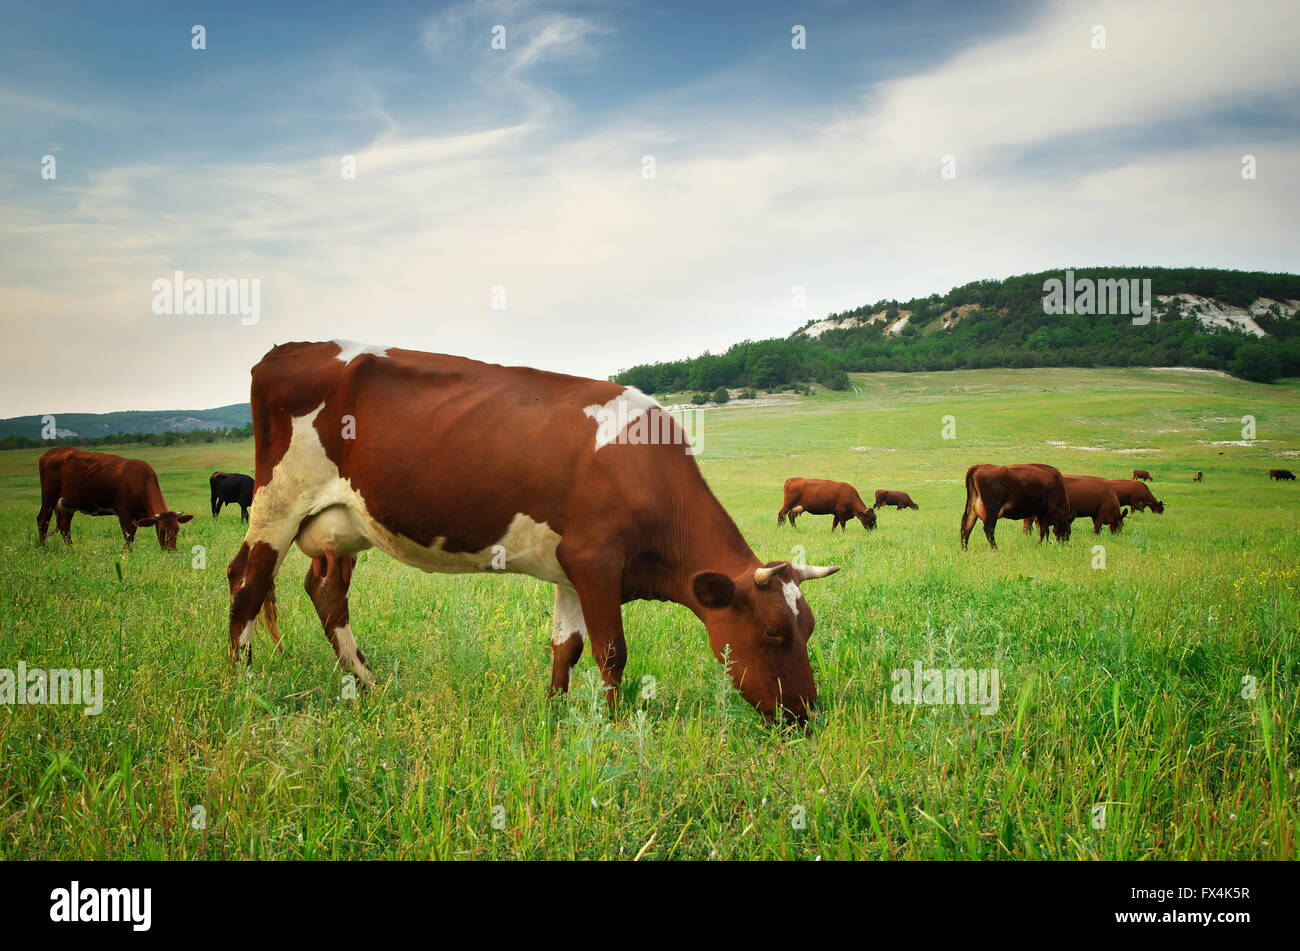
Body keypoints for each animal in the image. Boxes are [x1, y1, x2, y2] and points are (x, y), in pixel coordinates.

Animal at [37, 447, 193, 550]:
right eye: (161, 530)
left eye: (177, 529)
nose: (171, 551)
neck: (141, 481)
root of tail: (52, 452)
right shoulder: (123, 511)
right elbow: (129, 536)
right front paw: (126, 555)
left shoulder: (135, 517)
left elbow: (131, 535)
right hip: (49, 497)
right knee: (43, 520)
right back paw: (44, 549)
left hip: (68, 505)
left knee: (65, 527)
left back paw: (71, 550)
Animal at [225, 341, 841, 723]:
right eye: (772, 633)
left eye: (808, 627)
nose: (806, 715)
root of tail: (285, 350)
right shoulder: (597, 560)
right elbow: (612, 651)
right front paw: (612, 726)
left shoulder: (572, 569)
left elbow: (566, 647)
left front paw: (554, 712)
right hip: (278, 501)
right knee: (246, 582)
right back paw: (240, 682)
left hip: (341, 525)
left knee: (325, 592)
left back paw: (367, 682)